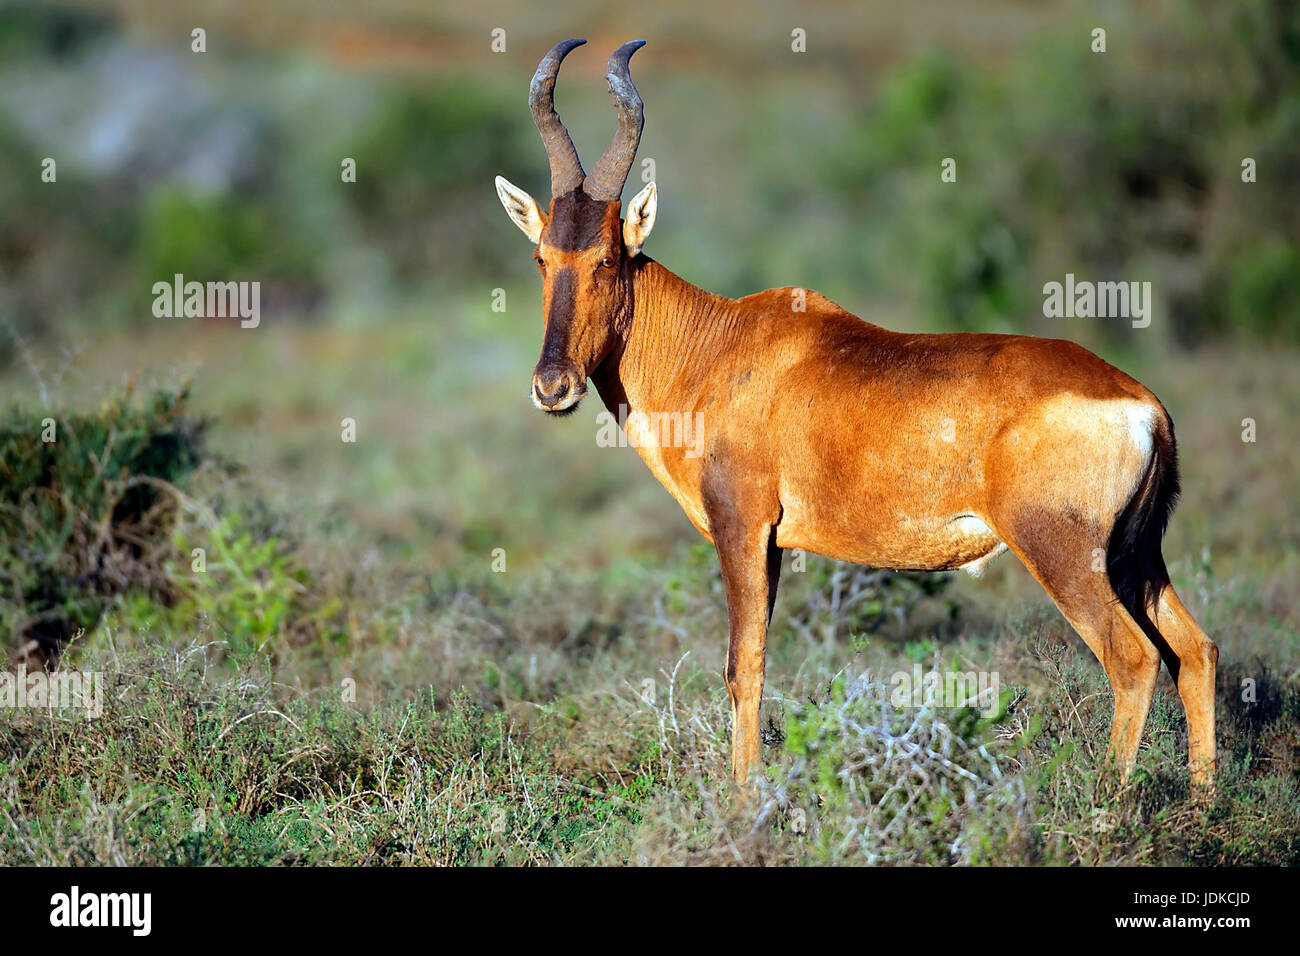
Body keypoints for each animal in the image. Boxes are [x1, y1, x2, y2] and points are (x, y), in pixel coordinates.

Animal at [494, 39, 1218, 790]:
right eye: (541, 255)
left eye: (608, 257)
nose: (553, 386)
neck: (719, 343)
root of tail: (1144, 406)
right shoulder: (774, 543)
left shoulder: (742, 527)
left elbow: (742, 666)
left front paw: (743, 797)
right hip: (1137, 557)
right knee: (1196, 651)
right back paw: (1203, 799)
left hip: (1064, 553)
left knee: (1132, 658)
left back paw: (1108, 799)